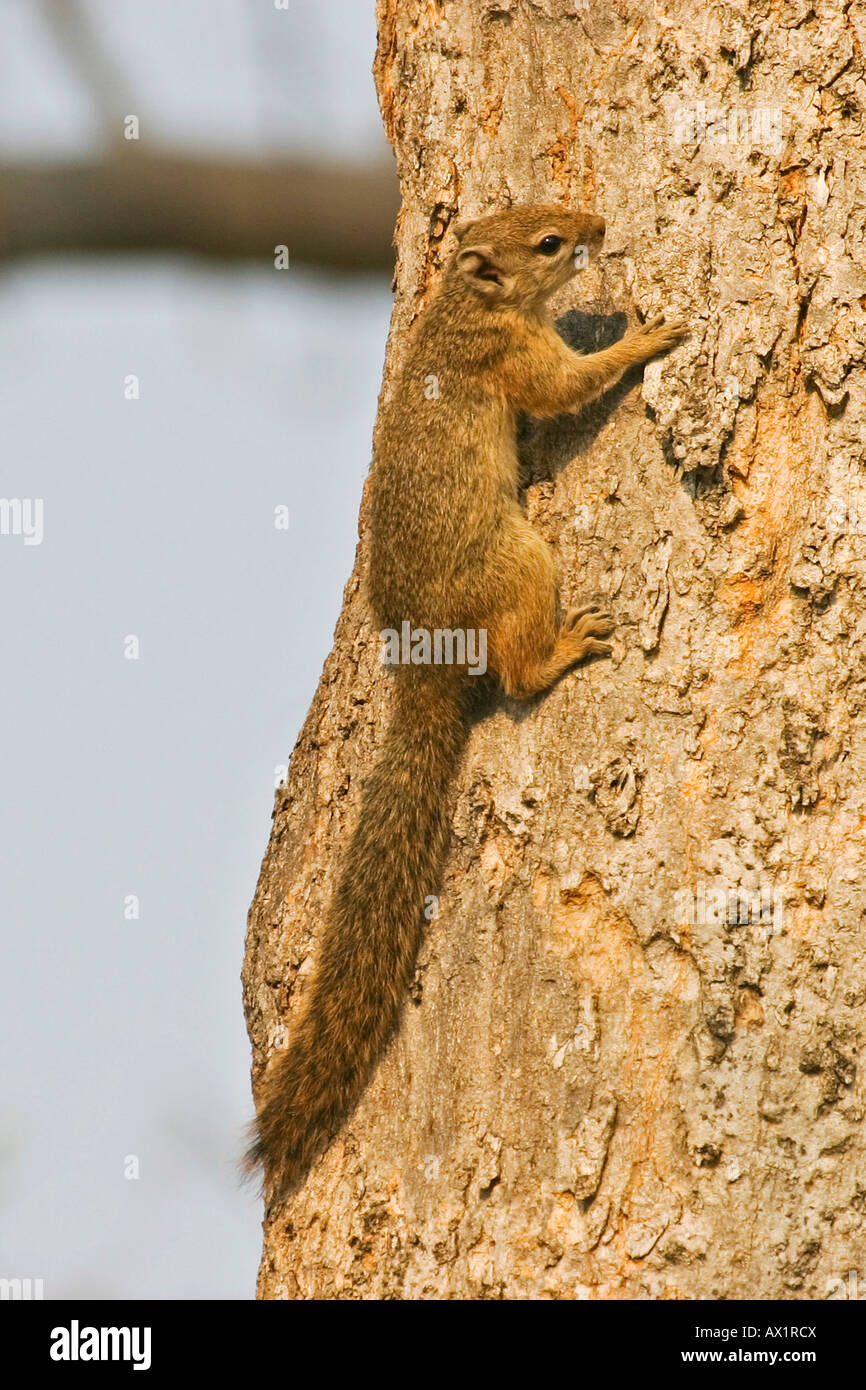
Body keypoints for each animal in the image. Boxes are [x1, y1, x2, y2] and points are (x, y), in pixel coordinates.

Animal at [246, 203, 686, 1200]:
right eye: (550, 244)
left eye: (552, 214)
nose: (600, 223)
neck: (461, 304)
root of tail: (425, 667)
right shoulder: (511, 359)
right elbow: (567, 385)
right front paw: (642, 339)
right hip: (517, 562)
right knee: (518, 674)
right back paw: (563, 649)